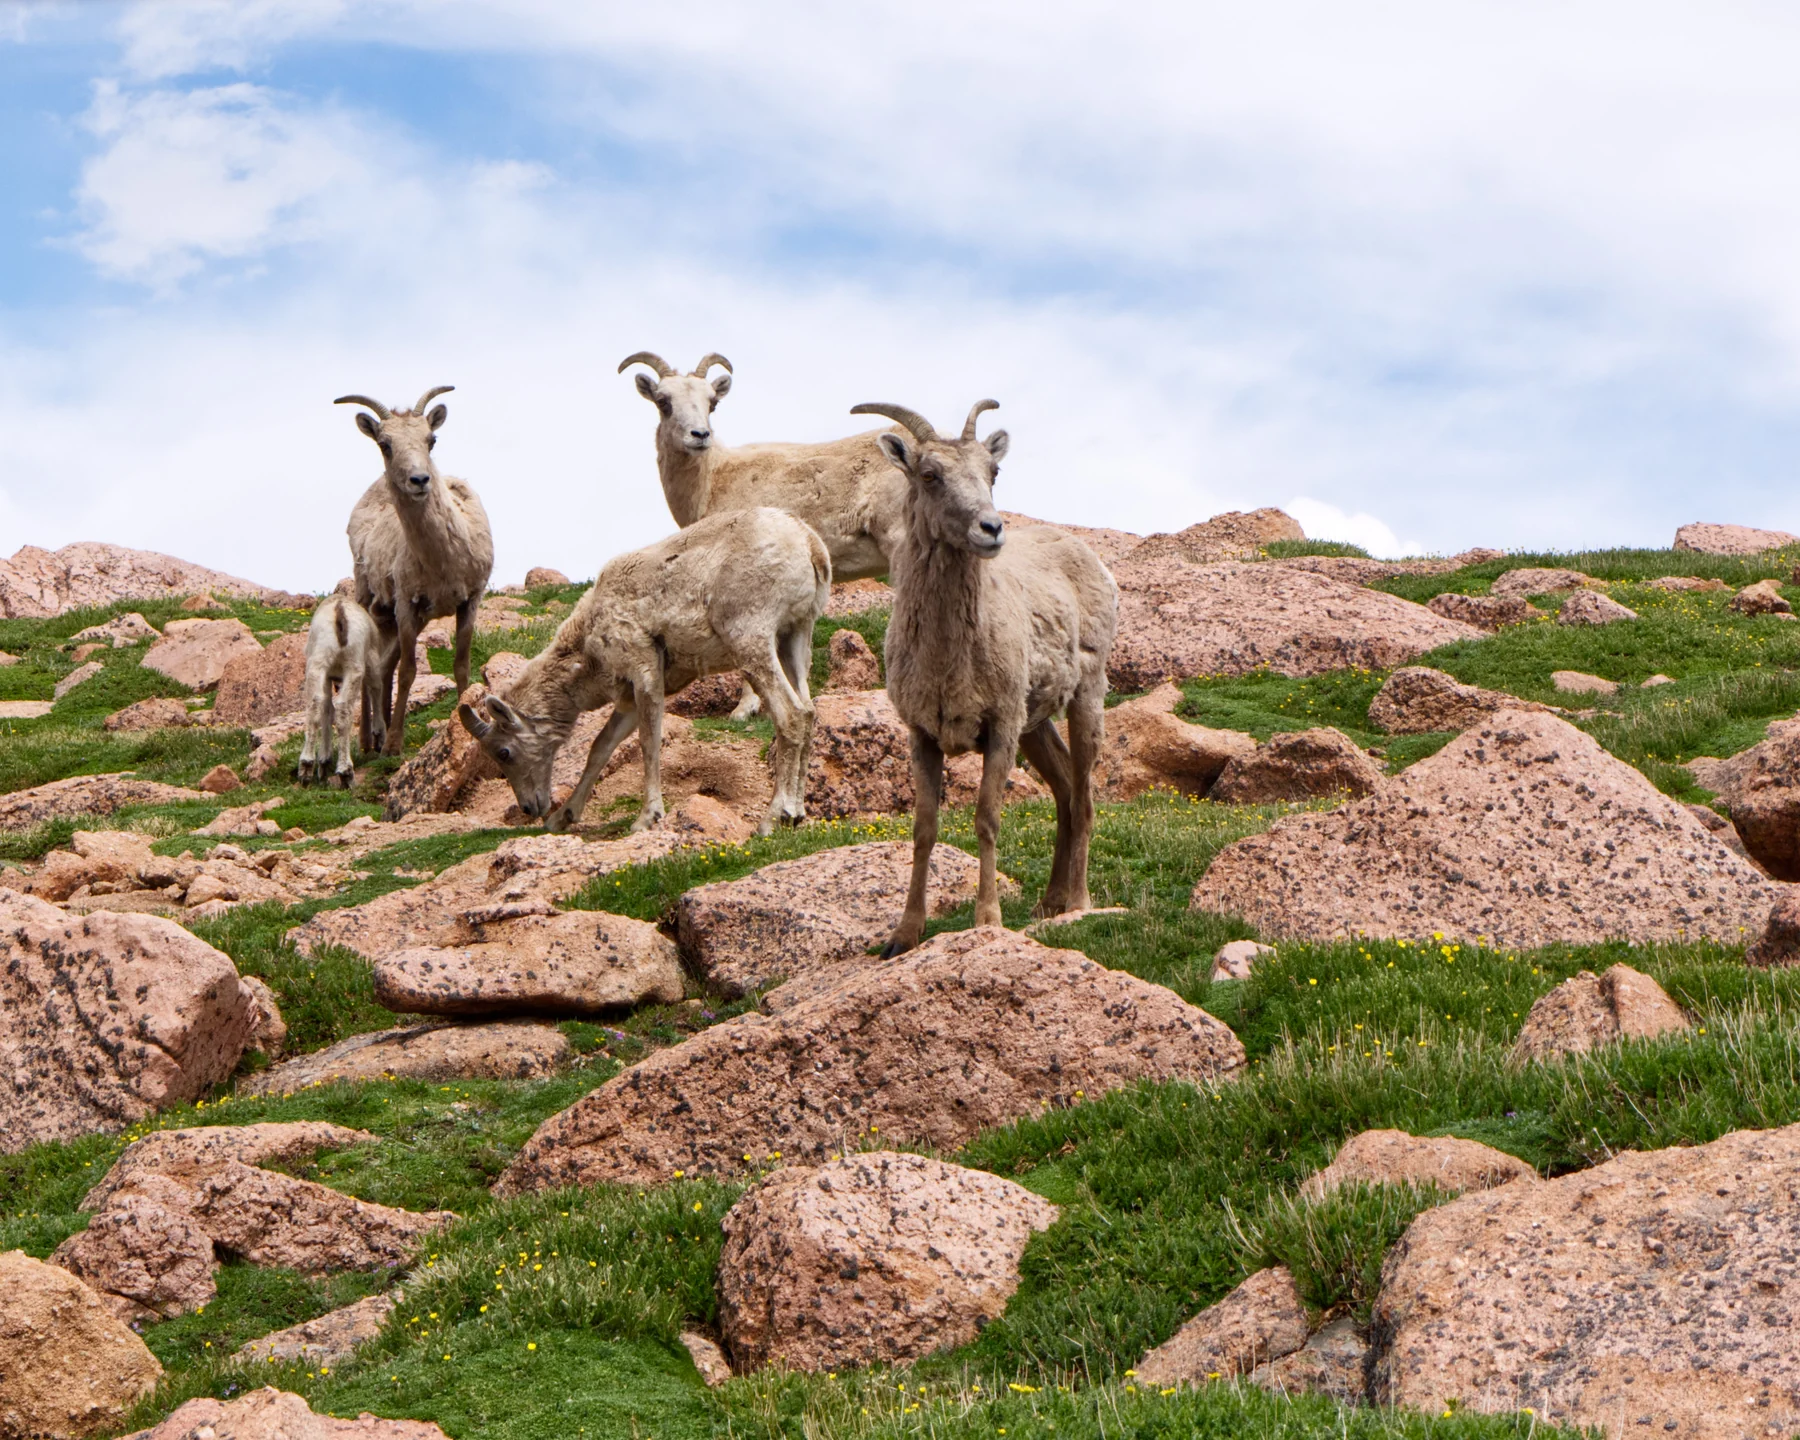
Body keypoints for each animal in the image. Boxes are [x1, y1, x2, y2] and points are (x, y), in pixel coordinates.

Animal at [296, 594, 388, 787]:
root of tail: (340, 614)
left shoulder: (327, 676)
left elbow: (325, 709)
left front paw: (323, 762)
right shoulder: (372, 662)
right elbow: (376, 690)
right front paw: (379, 737)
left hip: (318, 663)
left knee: (315, 706)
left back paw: (306, 767)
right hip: (355, 666)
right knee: (345, 708)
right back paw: (346, 772)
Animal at [339, 386, 494, 755]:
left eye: (431, 439)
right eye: (385, 444)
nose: (419, 480)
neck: (444, 562)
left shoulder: (470, 599)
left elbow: (461, 665)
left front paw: (462, 718)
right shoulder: (407, 604)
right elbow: (409, 671)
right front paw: (394, 745)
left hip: (401, 616)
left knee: (383, 667)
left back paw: (378, 734)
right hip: (369, 599)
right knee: (370, 667)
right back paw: (368, 742)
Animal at [457, 506, 829, 837]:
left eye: (504, 752)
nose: (530, 808)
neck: (587, 642)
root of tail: (809, 543)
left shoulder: (644, 670)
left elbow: (649, 741)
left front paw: (646, 818)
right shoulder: (628, 697)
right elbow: (600, 748)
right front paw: (562, 818)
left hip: (752, 638)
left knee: (791, 714)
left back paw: (772, 819)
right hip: (795, 636)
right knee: (809, 712)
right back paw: (797, 814)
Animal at [851, 399, 1118, 954]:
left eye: (992, 472)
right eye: (929, 475)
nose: (991, 529)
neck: (947, 662)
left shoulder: (998, 729)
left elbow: (986, 819)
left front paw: (988, 921)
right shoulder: (923, 735)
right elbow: (925, 828)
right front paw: (903, 936)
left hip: (1085, 696)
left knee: (1083, 797)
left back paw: (1077, 904)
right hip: (1034, 724)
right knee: (1064, 790)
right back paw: (1046, 903)